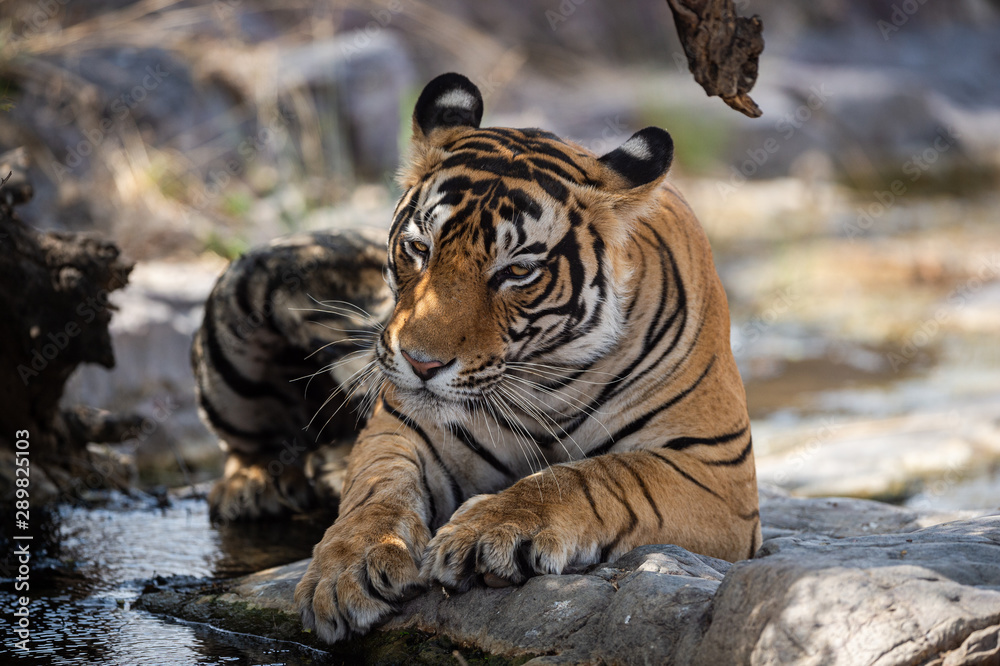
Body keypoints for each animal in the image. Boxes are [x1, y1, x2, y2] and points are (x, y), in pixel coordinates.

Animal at [194, 72, 760, 645]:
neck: (547, 380)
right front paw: (346, 571)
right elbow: (376, 489)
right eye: (419, 248)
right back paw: (258, 487)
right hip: (245, 289)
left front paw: (493, 532)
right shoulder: (403, 428)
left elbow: (598, 475)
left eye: (516, 271)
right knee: (246, 447)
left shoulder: (715, 470)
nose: (421, 364)